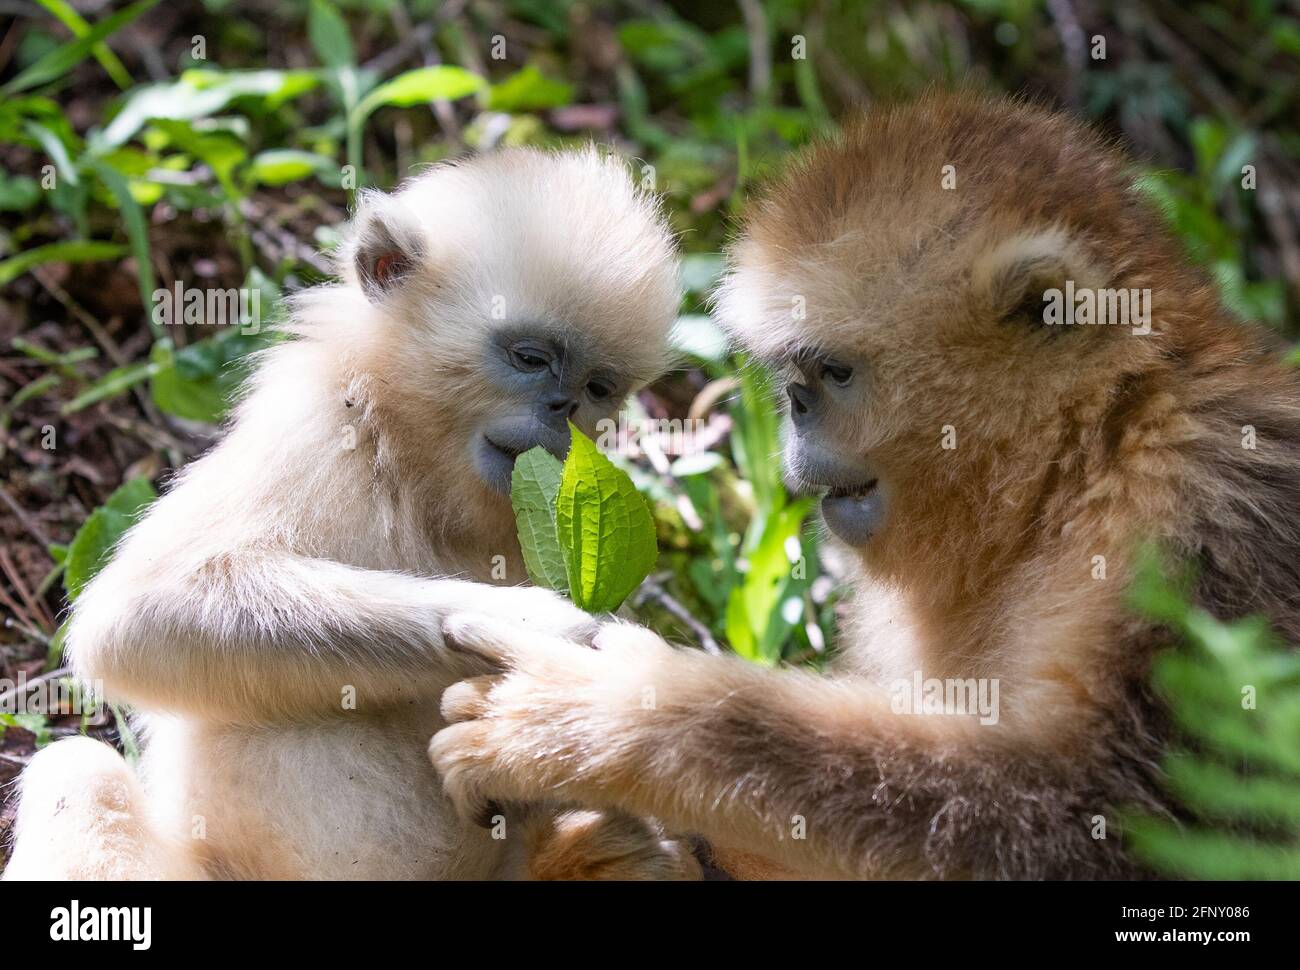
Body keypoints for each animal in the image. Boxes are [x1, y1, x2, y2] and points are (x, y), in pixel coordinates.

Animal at [4, 147, 701, 881]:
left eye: (599, 387)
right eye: (530, 358)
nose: (564, 410)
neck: (419, 473)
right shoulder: (312, 425)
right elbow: (139, 615)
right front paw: (534, 628)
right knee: (75, 766)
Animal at [425, 92, 1300, 880]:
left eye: (833, 373)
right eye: (795, 376)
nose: (795, 408)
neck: (1086, 457)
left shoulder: (1198, 523)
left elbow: (1097, 826)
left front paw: (612, 713)